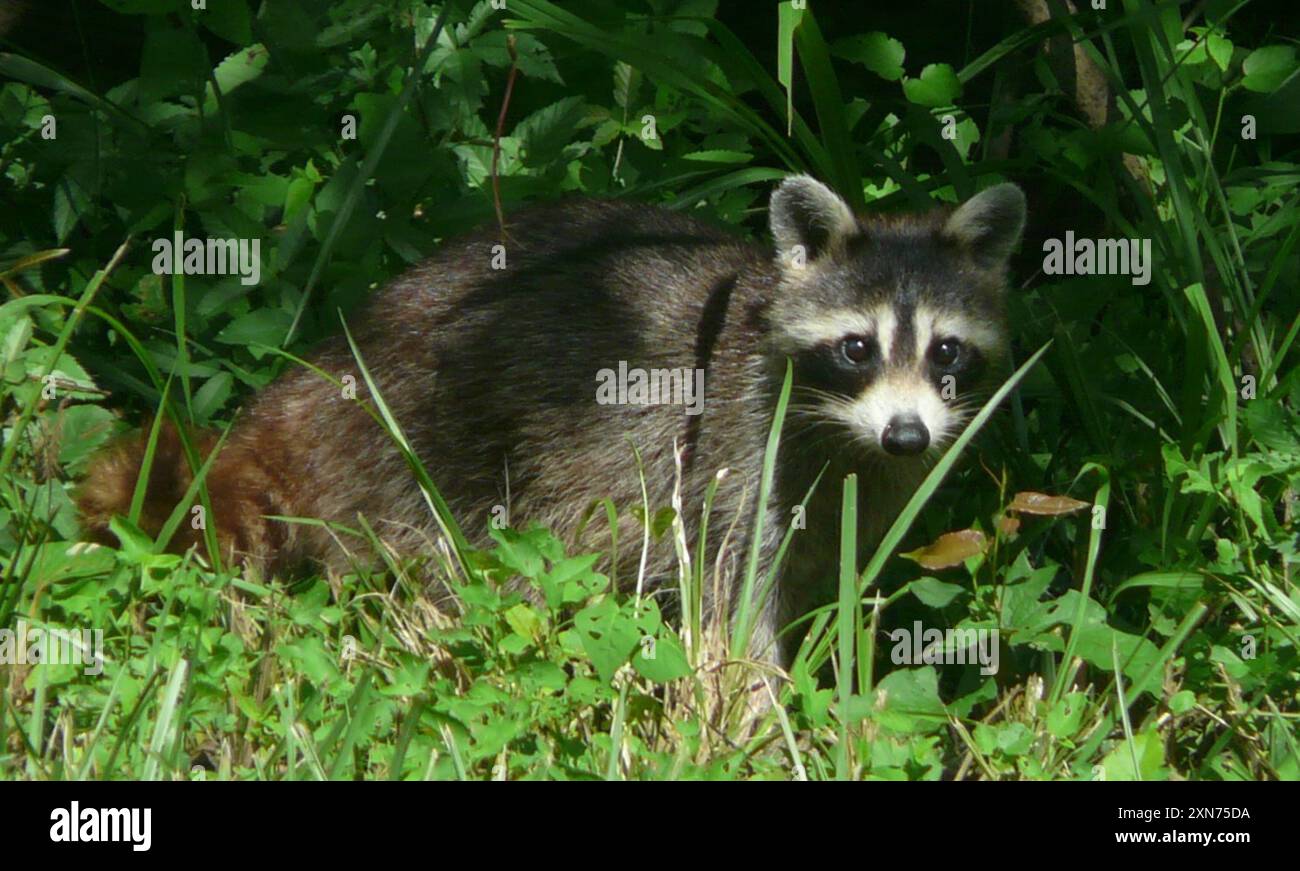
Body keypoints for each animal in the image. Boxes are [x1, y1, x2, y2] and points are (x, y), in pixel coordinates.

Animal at [77, 176, 1025, 665]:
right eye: (858, 347)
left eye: (946, 351)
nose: (907, 433)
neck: (843, 431)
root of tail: (324, 373)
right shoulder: (738, 450)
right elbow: (736, 600)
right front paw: (761, 711)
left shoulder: (860, 482)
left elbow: (835, 574)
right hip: (429, 438)